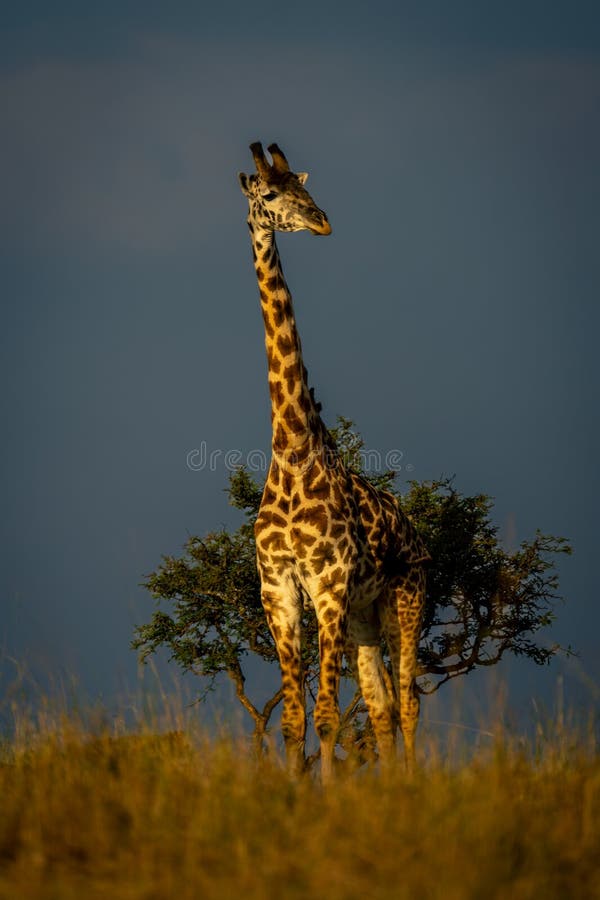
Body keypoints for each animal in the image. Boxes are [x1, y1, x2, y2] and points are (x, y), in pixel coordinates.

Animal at [238, 142, 429, 782]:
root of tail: (415, 531)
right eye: (271, 194)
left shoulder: (329, 583)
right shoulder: (279, 589)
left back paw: (413, 787)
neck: (292, 451)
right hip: (365, 616)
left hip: (405, 598)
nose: (321, 221)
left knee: (409, 700)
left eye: (304, 186)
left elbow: (324, 716)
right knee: (383, 705)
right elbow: (296, 720)